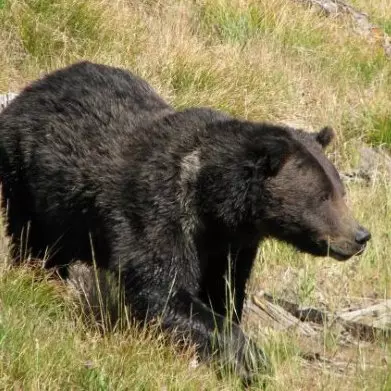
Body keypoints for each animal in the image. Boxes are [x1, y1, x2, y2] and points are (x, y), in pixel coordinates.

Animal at [0, 62, 370, 386]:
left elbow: (222, 290)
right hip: (26, 178)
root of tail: (32, 89)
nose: (360, 236)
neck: (213, 205)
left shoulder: (231, 245)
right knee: (33, 240)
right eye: (322, 196)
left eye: (341, 190)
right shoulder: (158, 211)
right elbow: (164, 290)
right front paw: (252, 361)